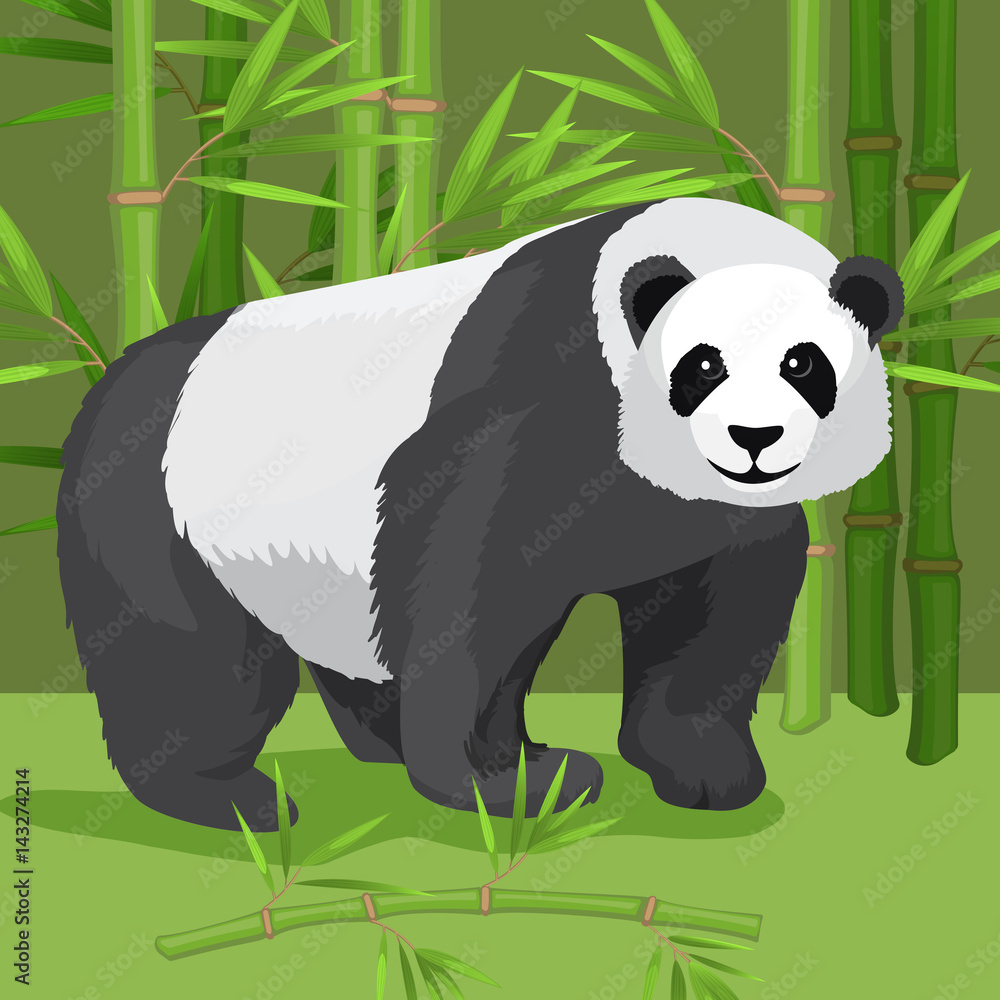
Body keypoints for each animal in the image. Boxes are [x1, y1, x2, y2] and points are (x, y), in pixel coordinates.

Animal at [56, 197, 904, 831]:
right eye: (703, 366)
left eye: (803, 364)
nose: (754, 438)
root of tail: (110, 385)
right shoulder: (535, 402)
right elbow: (473, 584)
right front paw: (516, 783)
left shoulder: (709, 508)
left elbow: (716, 606)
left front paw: (702, 766)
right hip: (159, 503)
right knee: (191, 660)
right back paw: (228, 798)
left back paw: (377, 742)